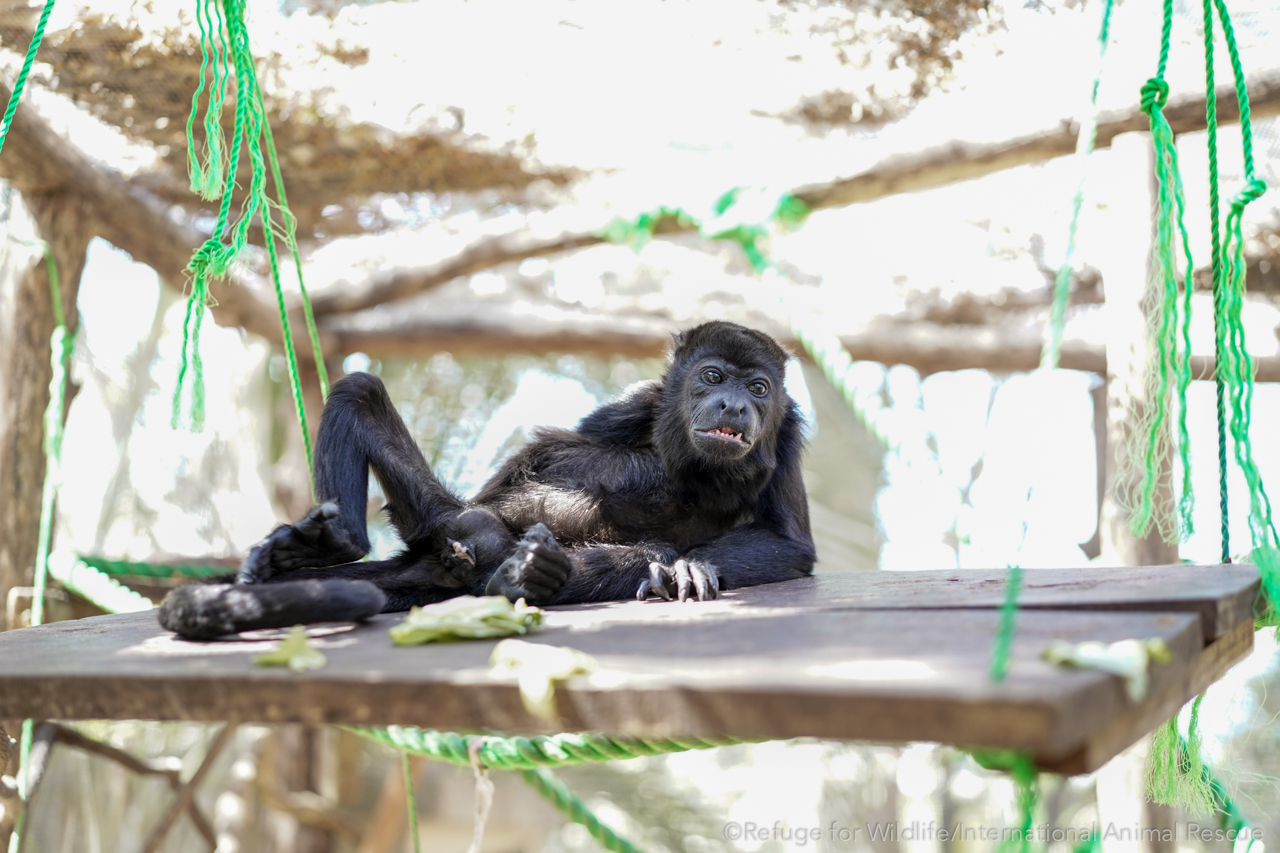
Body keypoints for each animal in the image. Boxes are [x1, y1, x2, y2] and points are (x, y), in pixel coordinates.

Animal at [158, 321, 815, 639]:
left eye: (758, 388)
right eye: (712, 377)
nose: (734, 406)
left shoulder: (785, 433)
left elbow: (792, 545)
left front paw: (689, 566)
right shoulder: (641, 400)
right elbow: (543, 459)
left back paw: (528, 575)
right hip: (440, 523)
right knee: (363, 396)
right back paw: (338, 541)